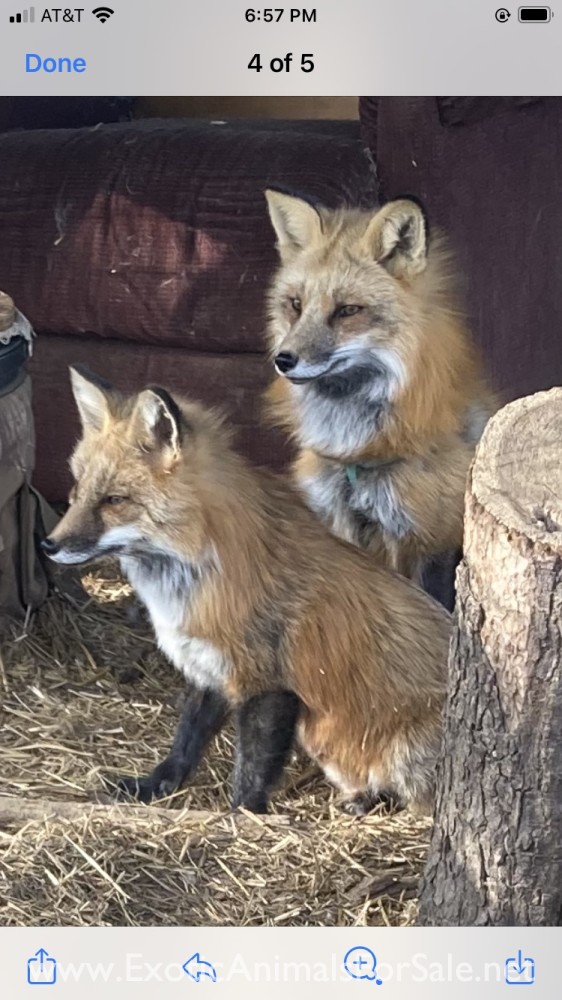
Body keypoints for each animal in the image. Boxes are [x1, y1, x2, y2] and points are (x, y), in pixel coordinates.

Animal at [43, 367, 451, 815]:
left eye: (114, 500)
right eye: (78, 492)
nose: (48, 545)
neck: (196, 580)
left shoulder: (267, 683)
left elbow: (251, 771)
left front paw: (241, 816)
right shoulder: (211, 672)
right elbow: (184, 743)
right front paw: (154, 786)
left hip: (402, 750)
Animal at [264, 191, 497, 605]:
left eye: (347, 311)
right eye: (295, 304)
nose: (284, 360)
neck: (356, 455)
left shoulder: (423, 539)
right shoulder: (337, 516)